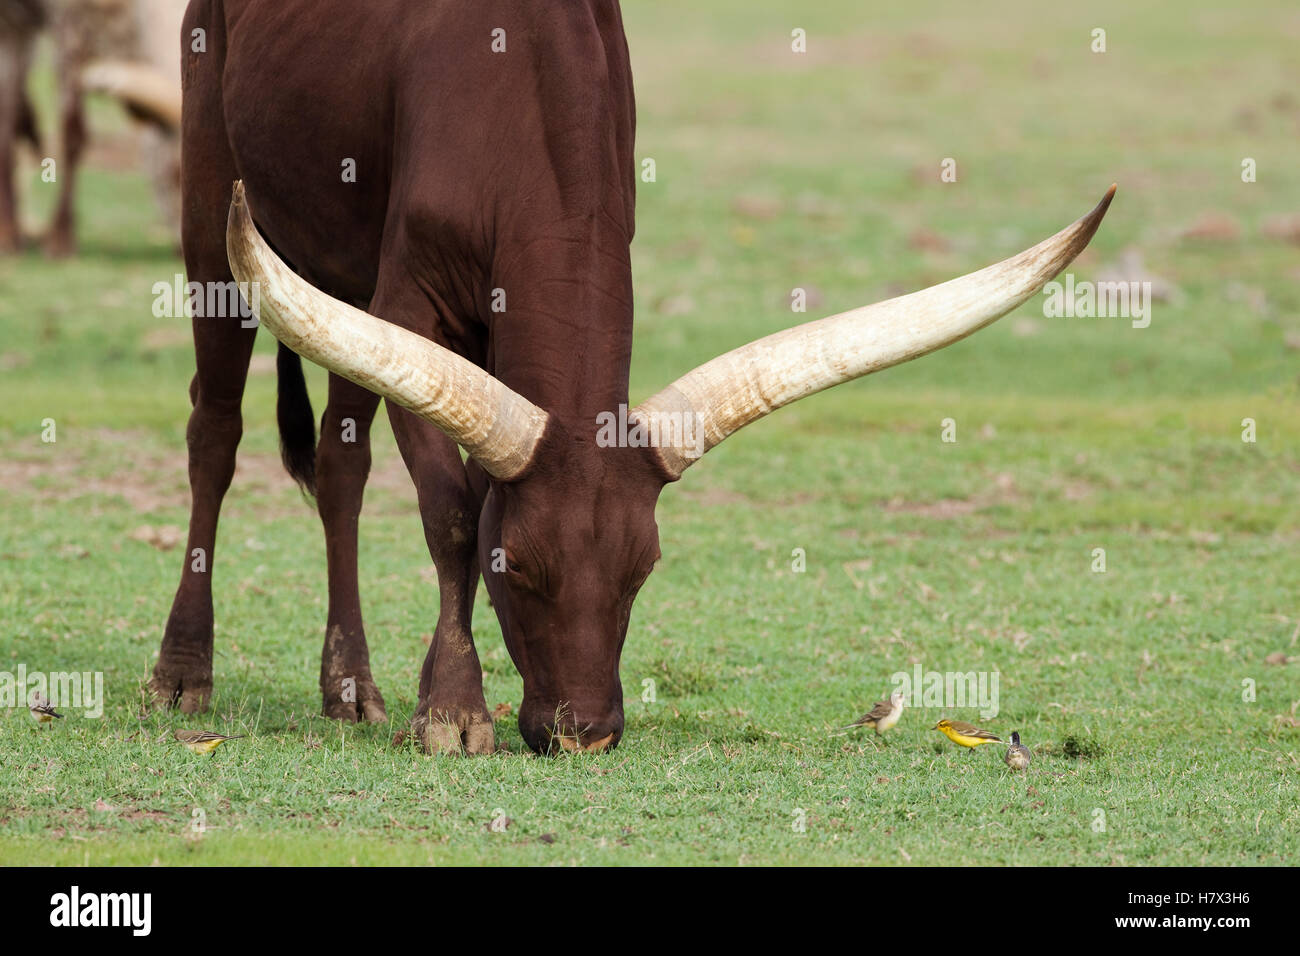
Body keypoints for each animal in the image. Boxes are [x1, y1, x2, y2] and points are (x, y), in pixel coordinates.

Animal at [154, 0, 1114, 756]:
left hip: (340, 279)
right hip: (210, 198)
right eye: (517, 568)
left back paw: (347, 687)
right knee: (215, 432)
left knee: (340, 464)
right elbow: (452, 512)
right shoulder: (407, 304)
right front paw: (454, 711)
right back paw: (180, 673)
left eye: (642, 570)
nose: (585, 733)